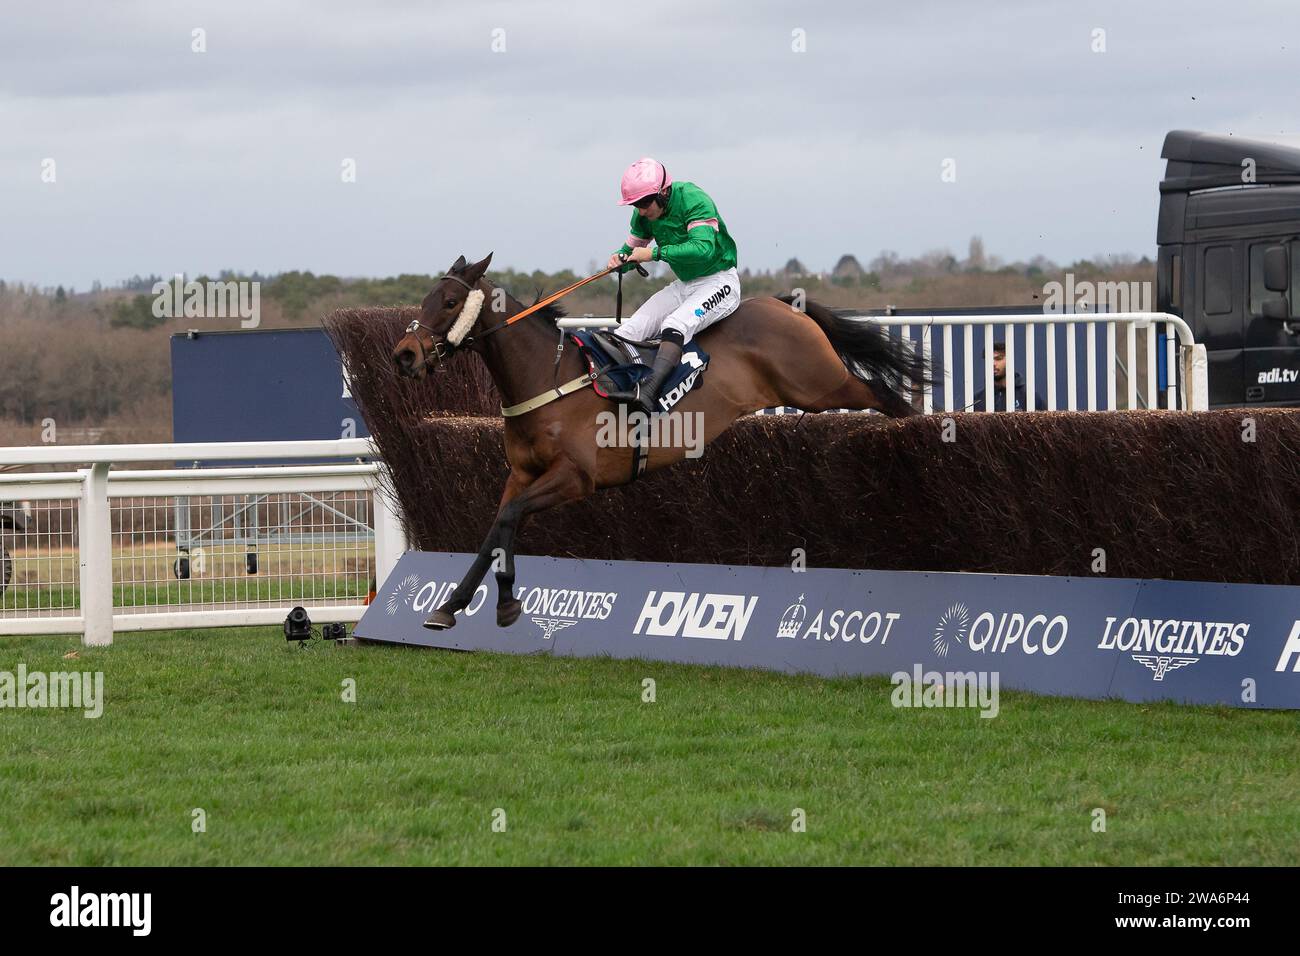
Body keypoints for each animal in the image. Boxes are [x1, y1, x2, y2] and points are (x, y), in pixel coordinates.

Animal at [391, 252, 925, 630]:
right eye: (426, 299)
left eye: (449, 302)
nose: (403, 355)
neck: (549, 378)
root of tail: (781, 304)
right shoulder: (521, 474)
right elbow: (494, 531)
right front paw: (453, 605)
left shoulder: (576, 478)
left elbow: (509, 520)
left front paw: (502, 602)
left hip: (817, 386)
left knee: (882, 394)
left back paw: (922, 427)